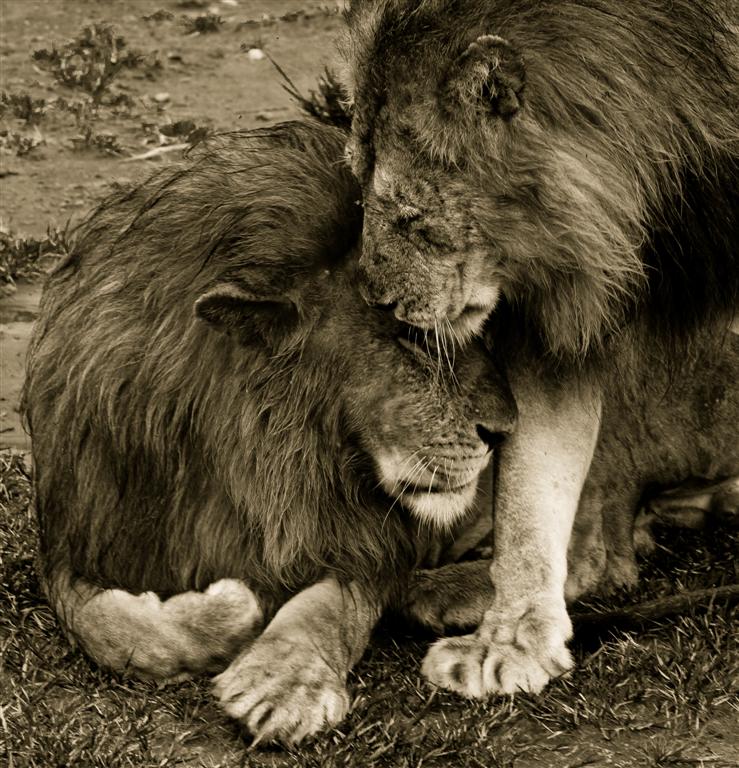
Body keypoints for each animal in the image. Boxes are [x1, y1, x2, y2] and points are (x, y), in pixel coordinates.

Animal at [21, 120, 517, 743]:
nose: (505, 428)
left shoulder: (361, 537)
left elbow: (335, 603)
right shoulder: (74, 536)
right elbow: (110, 629)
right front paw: (226, 613)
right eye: (413, 337)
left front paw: (282, 683)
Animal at [343, 0, 739, 696]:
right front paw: (510, 635)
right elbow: (530, 493)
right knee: (600, 553)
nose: (378, 302)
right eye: (360, 195)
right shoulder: (556, 304)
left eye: (414, 217)